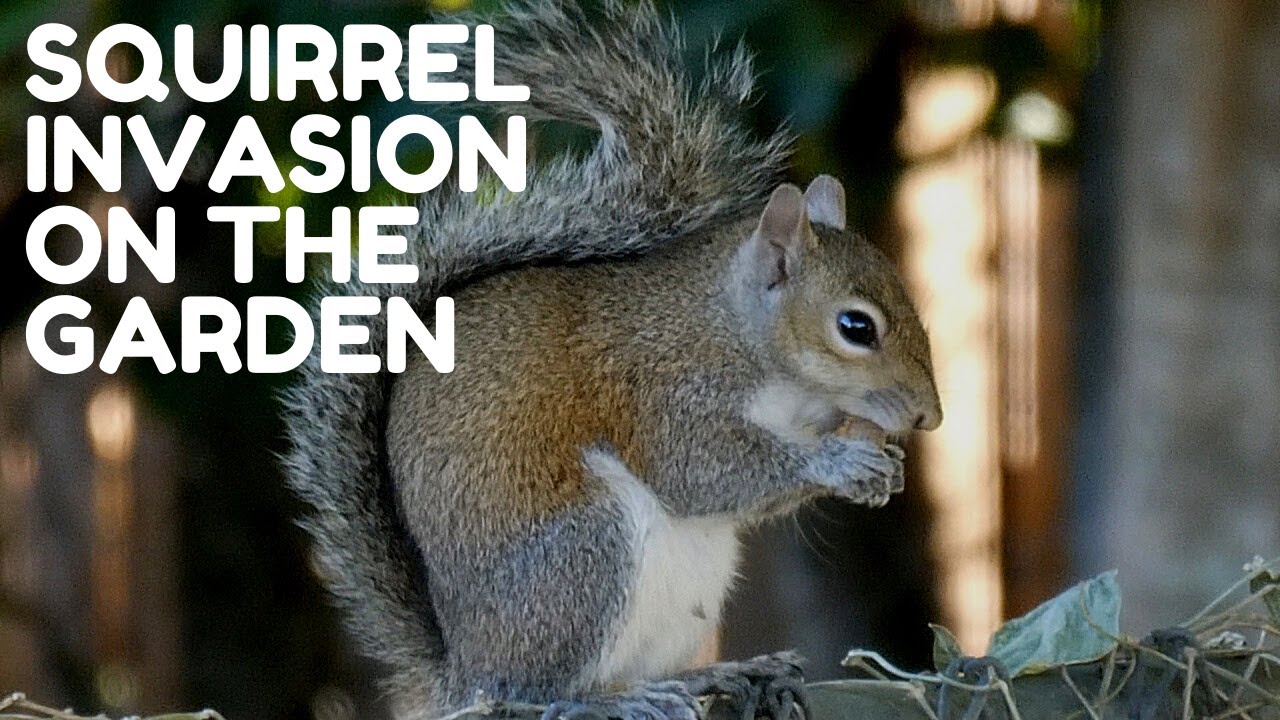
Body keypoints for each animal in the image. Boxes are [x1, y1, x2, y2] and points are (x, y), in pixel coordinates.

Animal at [282, 2, 942, 719]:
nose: (928, 418)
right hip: (583, 554)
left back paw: (711, 676)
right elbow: (702, 471)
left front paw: (881, 467)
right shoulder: (665, 387)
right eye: (856, 327)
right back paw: (616, 701)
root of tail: (464, 672)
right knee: (539, 695)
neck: (739, 333)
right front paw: (841, 461)